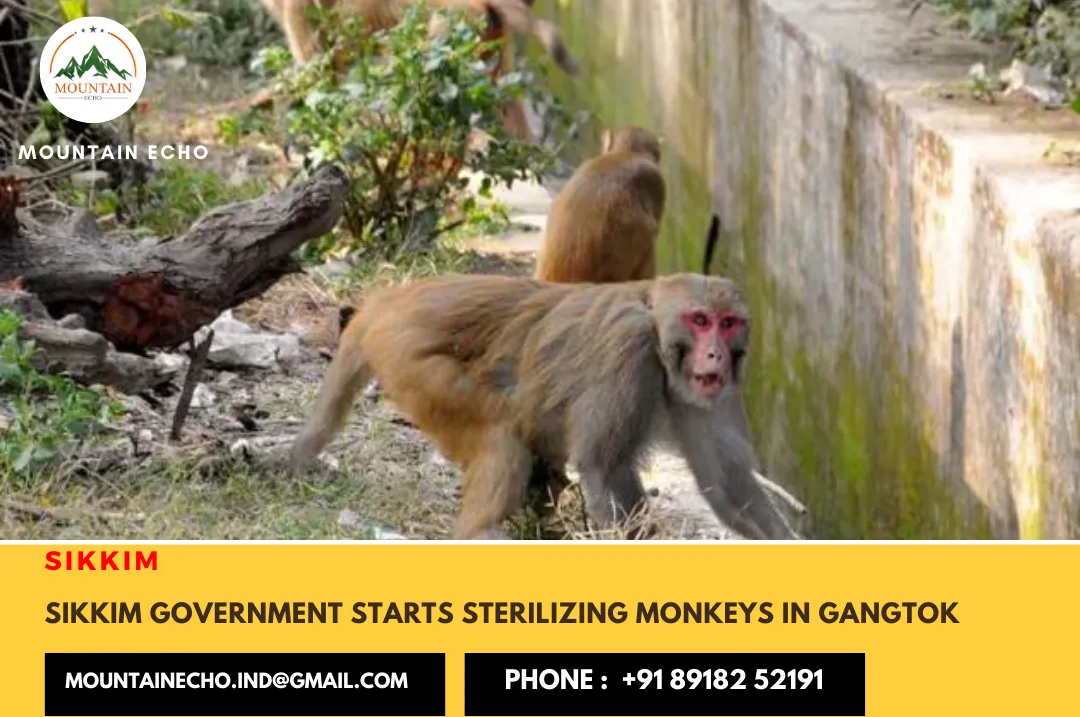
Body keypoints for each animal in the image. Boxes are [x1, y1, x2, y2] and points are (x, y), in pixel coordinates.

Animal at [288, 272, 800, 541]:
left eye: (728, 324)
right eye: (699, 320)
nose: (715, 355)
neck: (658, 337)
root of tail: (384, 304)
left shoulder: (717, 391)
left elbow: (729, 485)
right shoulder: (628, 351)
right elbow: (602, 469)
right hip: (410, 361)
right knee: (502, 440)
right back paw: (477, 534)